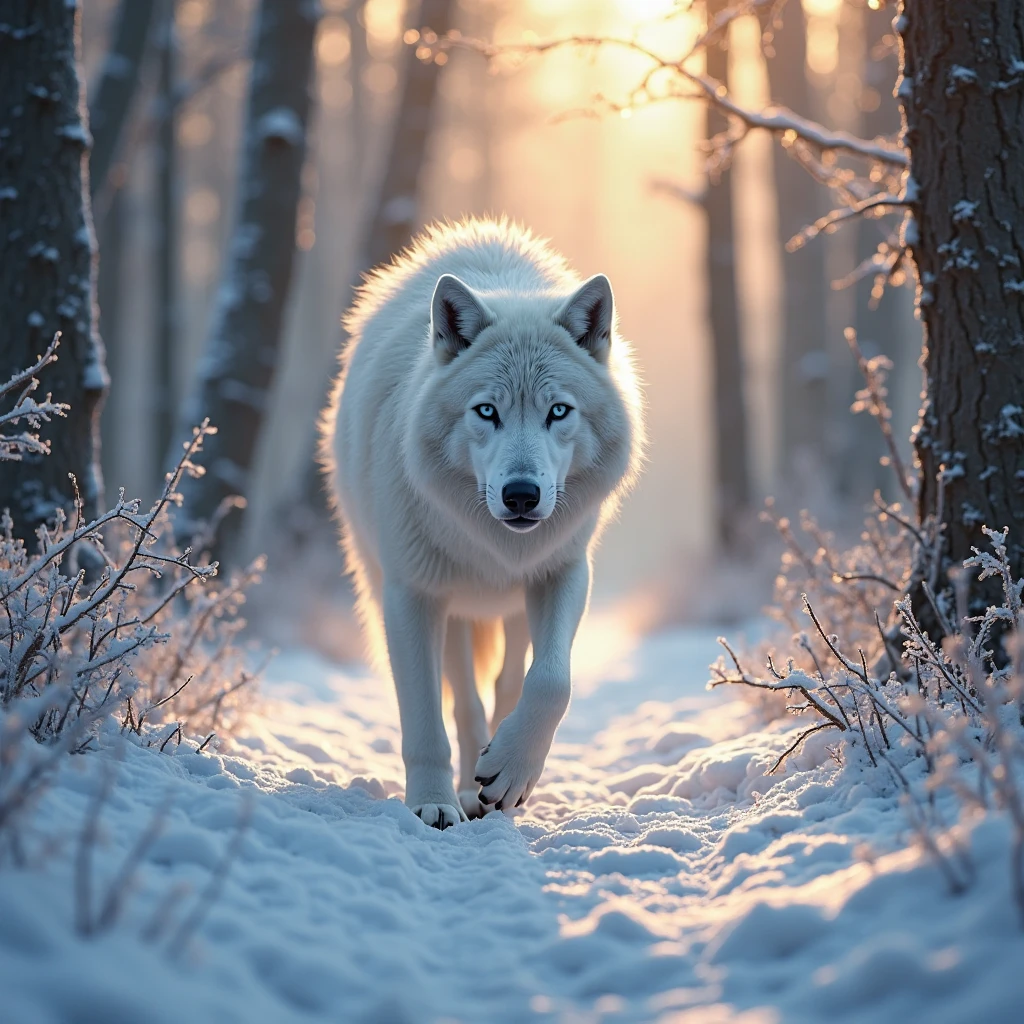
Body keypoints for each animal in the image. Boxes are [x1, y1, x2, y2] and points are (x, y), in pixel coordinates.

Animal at [321, 219, 644, 829]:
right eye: (486, 411)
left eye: (558, 411)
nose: (521, 495)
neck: (493, 547)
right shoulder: (412, 595)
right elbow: (426, 717)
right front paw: (432, 803)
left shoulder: (565, 571)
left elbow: (551, 682)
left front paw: (511, 770)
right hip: (435, 602)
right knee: (465, 694)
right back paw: (471, 789)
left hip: (511, 608)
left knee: (508, 677)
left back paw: (495, 779)